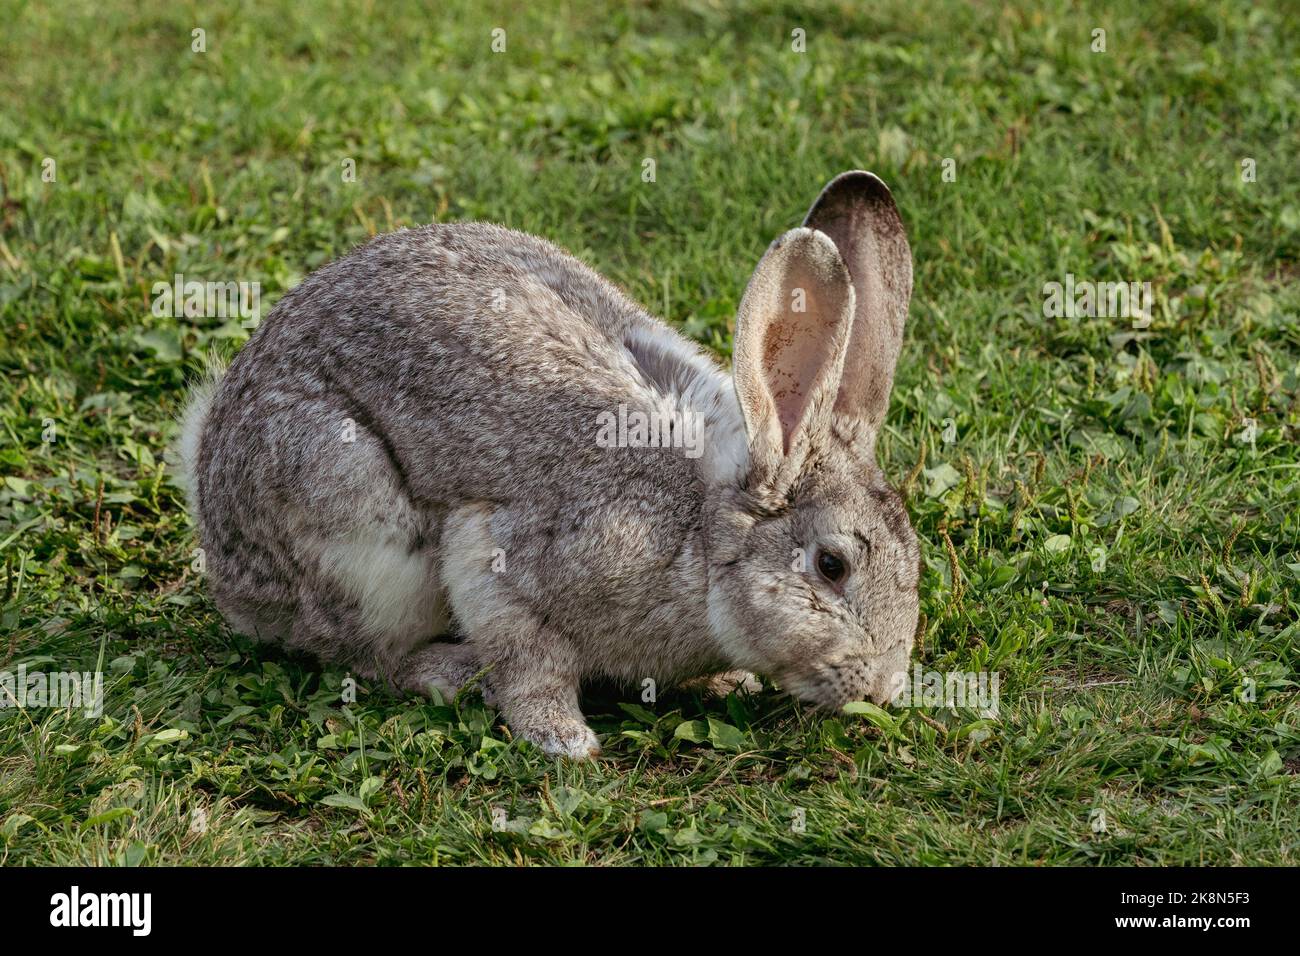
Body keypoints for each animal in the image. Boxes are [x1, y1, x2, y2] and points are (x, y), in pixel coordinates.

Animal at [176, 170, 920, 758]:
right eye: (831, 566)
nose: (883, 688)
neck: (699, 534)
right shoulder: (500, 554)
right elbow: (532, 662)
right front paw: (565, 740)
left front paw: (721, 681)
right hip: (351, 518)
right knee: (365, 652)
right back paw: (452, 674)